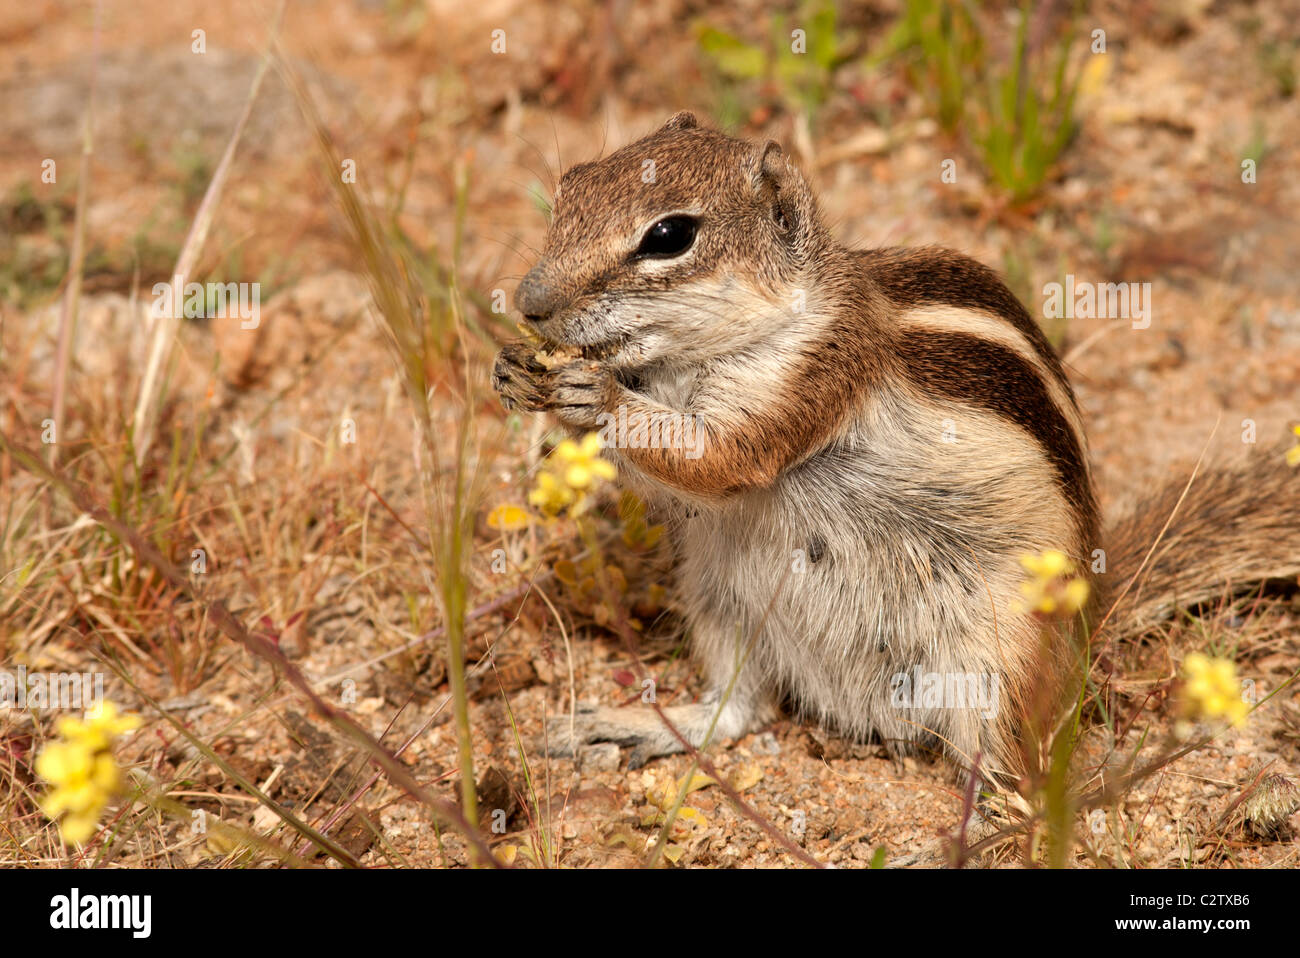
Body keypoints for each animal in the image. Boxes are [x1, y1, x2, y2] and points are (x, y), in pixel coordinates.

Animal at [493, 111, 1300, 784]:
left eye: (669, 236)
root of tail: (1090, 620)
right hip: (722, 603)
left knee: (1012, 772)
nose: (530, 302)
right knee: (736, 712)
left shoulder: (812, 377)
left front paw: (594, 394)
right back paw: (638, 726)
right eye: (570, 185)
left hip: (997, 660)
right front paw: (516, 376)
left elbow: (721, 457)